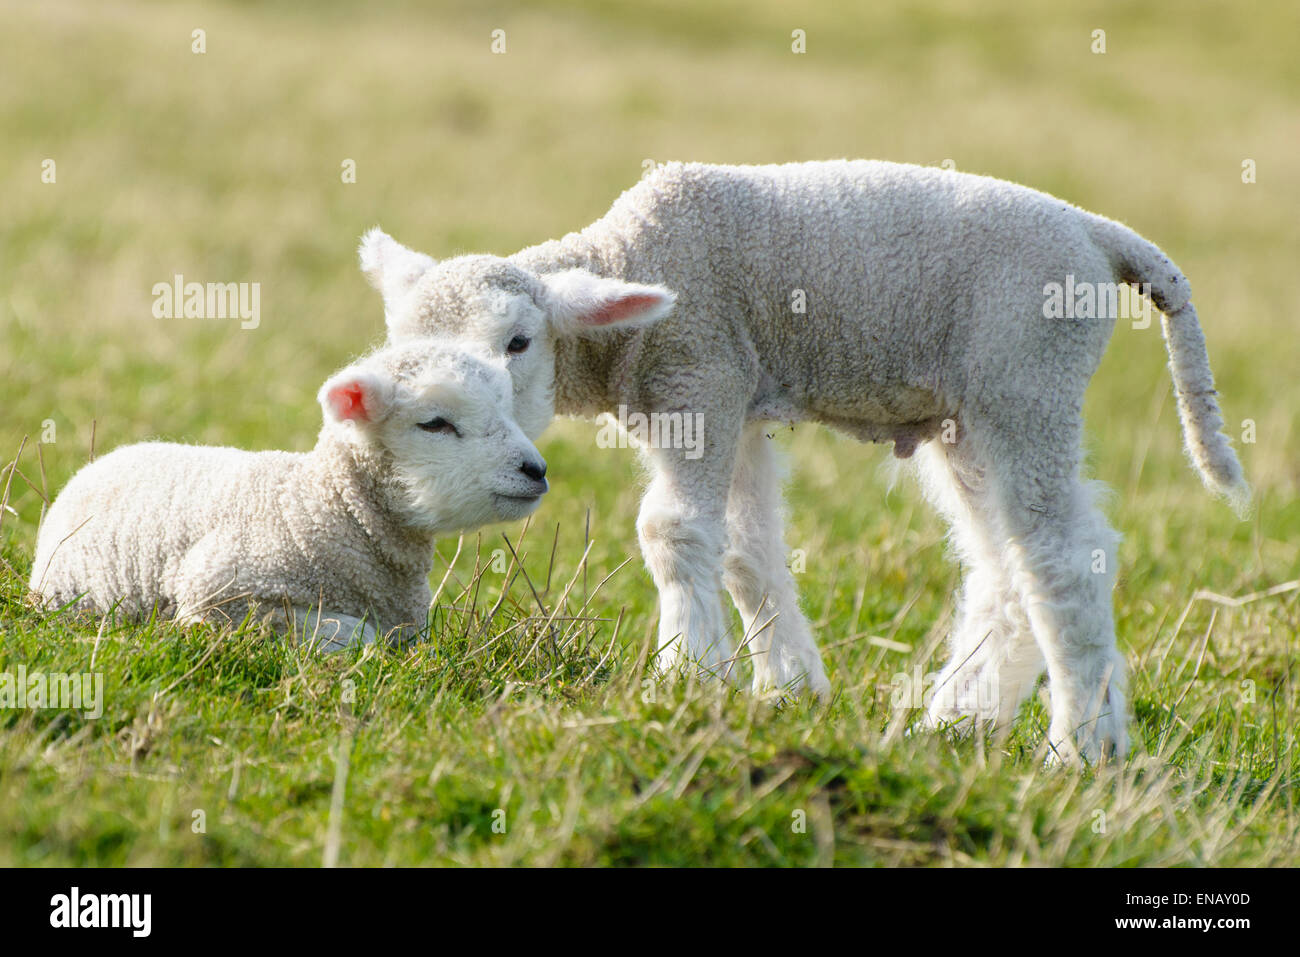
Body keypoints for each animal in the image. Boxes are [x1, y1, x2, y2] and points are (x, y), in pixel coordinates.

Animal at [28, 340, 549, 649]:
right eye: (435, 423)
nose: (537, 470)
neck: (316, 508)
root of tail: (96, 464)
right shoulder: (221, 595)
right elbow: (355, 633)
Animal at [361, 159, 1248, 762]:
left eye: (517, 342)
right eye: (403, 345)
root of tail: (1100, 234)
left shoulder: (700, 373)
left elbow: (672, 530)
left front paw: (689, 676)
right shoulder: (731, 403)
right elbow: (748, 551)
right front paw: (789, 688)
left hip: (1027, 379)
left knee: (1063, 558)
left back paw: (1081, 747)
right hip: (969, 419)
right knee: (1004, 566)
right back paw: (957, 719)